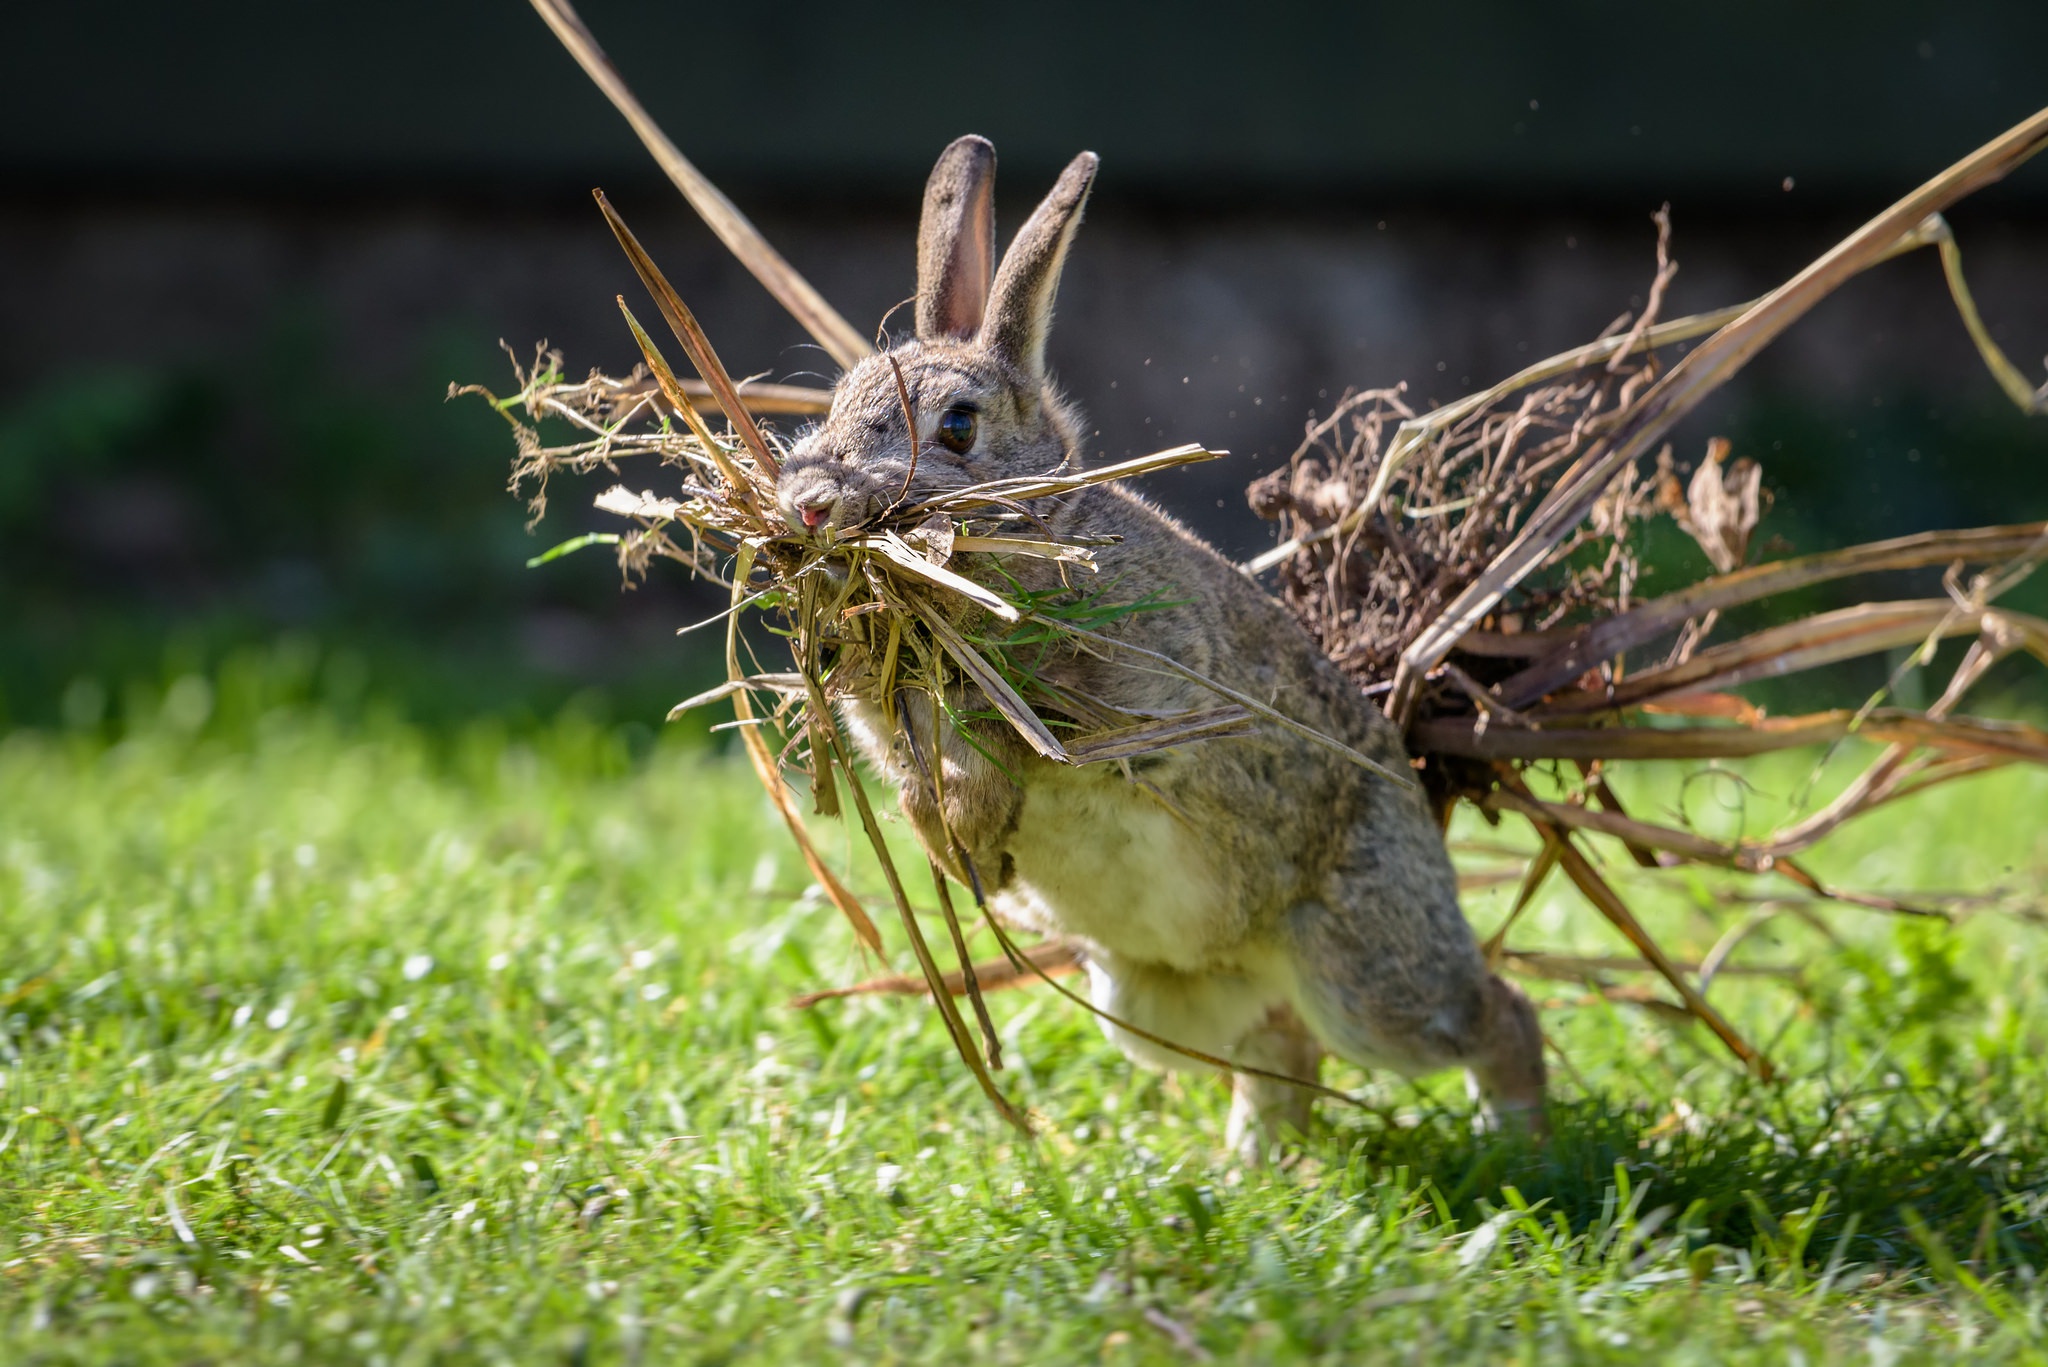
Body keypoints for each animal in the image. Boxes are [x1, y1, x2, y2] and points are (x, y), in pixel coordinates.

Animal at [775, 136, 1546, 1159]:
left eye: (957, 426)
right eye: (834, 406)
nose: (810, 505)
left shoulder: (1133, 697)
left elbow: (1016, 752)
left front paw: (980, 841)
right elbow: (918, 786)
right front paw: (968, 859)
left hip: (1370, 979)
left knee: (1488, 1011)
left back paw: (1524, 1141)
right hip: (1150, 1004)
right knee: (1280, 1044)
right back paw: (1257, 1167)